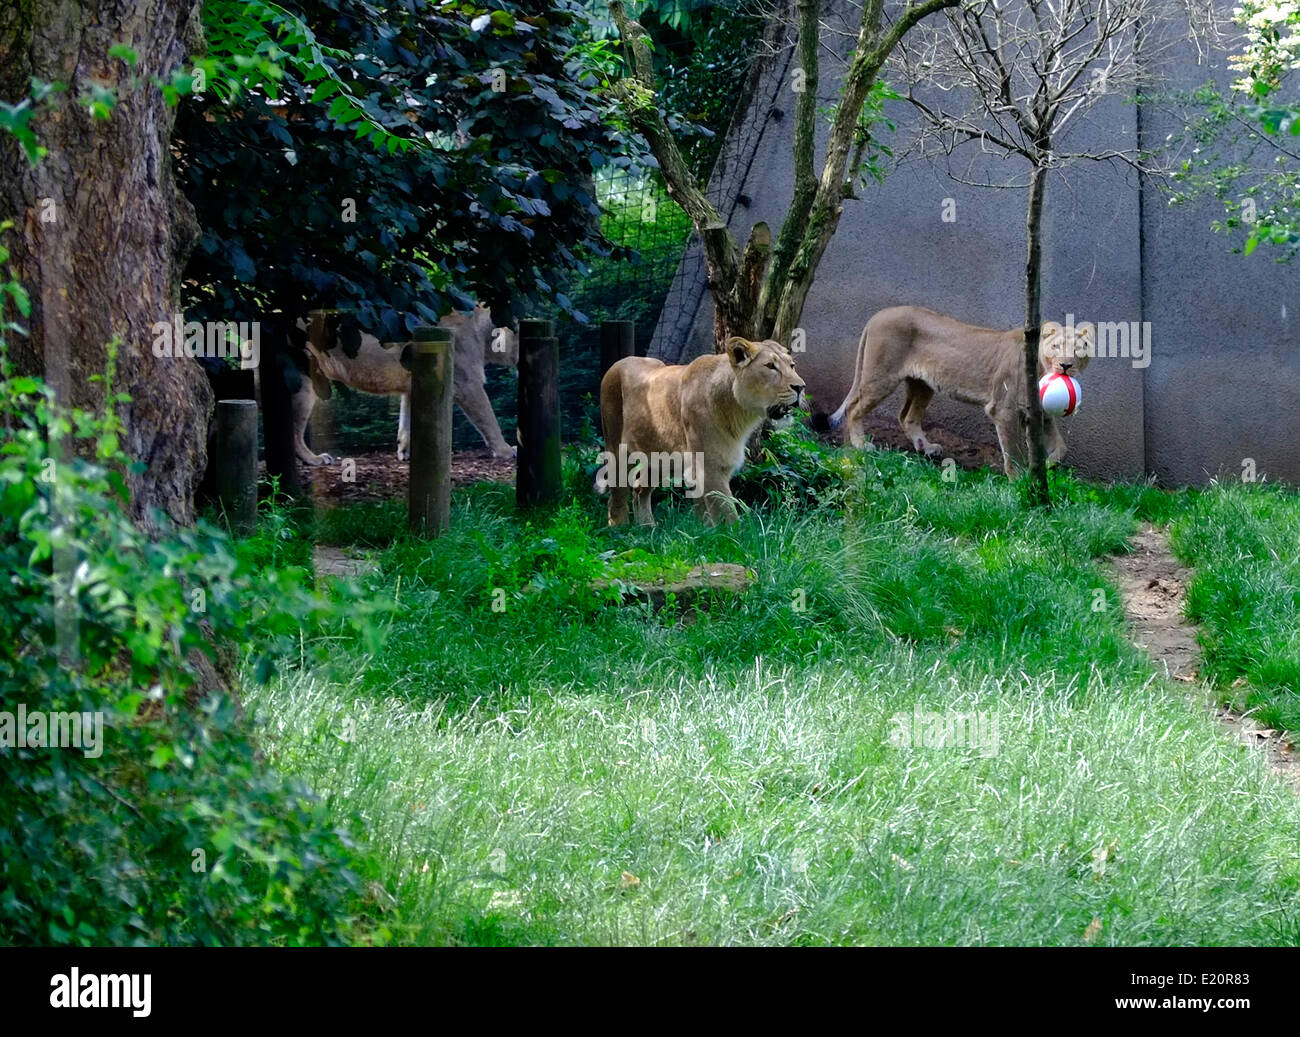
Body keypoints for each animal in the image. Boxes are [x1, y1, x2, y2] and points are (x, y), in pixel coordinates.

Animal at [288, 303, 518, 465]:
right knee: (294, 433)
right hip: (303, 379)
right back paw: (314, 459)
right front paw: (506, 450)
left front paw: (406, 452)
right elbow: (489, 418)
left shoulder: (415, 382)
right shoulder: (467, 382)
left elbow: (406, 421)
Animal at [599, 337, 805, 526]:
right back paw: (620, 528)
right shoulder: (710, 466)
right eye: (770, 366)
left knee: (639, 488)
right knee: (617, 491)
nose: (801, 387)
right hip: (616, 446)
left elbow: (704, 511)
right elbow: (727, 515)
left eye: (792, 366)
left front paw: (703, 531)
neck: (738, 413)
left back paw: (647, 527)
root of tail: (620, 362)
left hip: (659, 456)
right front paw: (734, 539)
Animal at [824, 306, 1094, 476]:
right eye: (1055, 347)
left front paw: (1045, 467)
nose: (1066, 365)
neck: (1039, 369)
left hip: (922, 385)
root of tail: (878, 314)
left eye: (1079, 349)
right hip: (882, 375)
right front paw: (1020, 481)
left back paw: (926, 448)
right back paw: (859, 445)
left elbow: (1061, 448)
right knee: (853, 407)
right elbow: (1013, 452)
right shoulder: (1003, 409)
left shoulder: (1040, 414)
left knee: (906, 416)